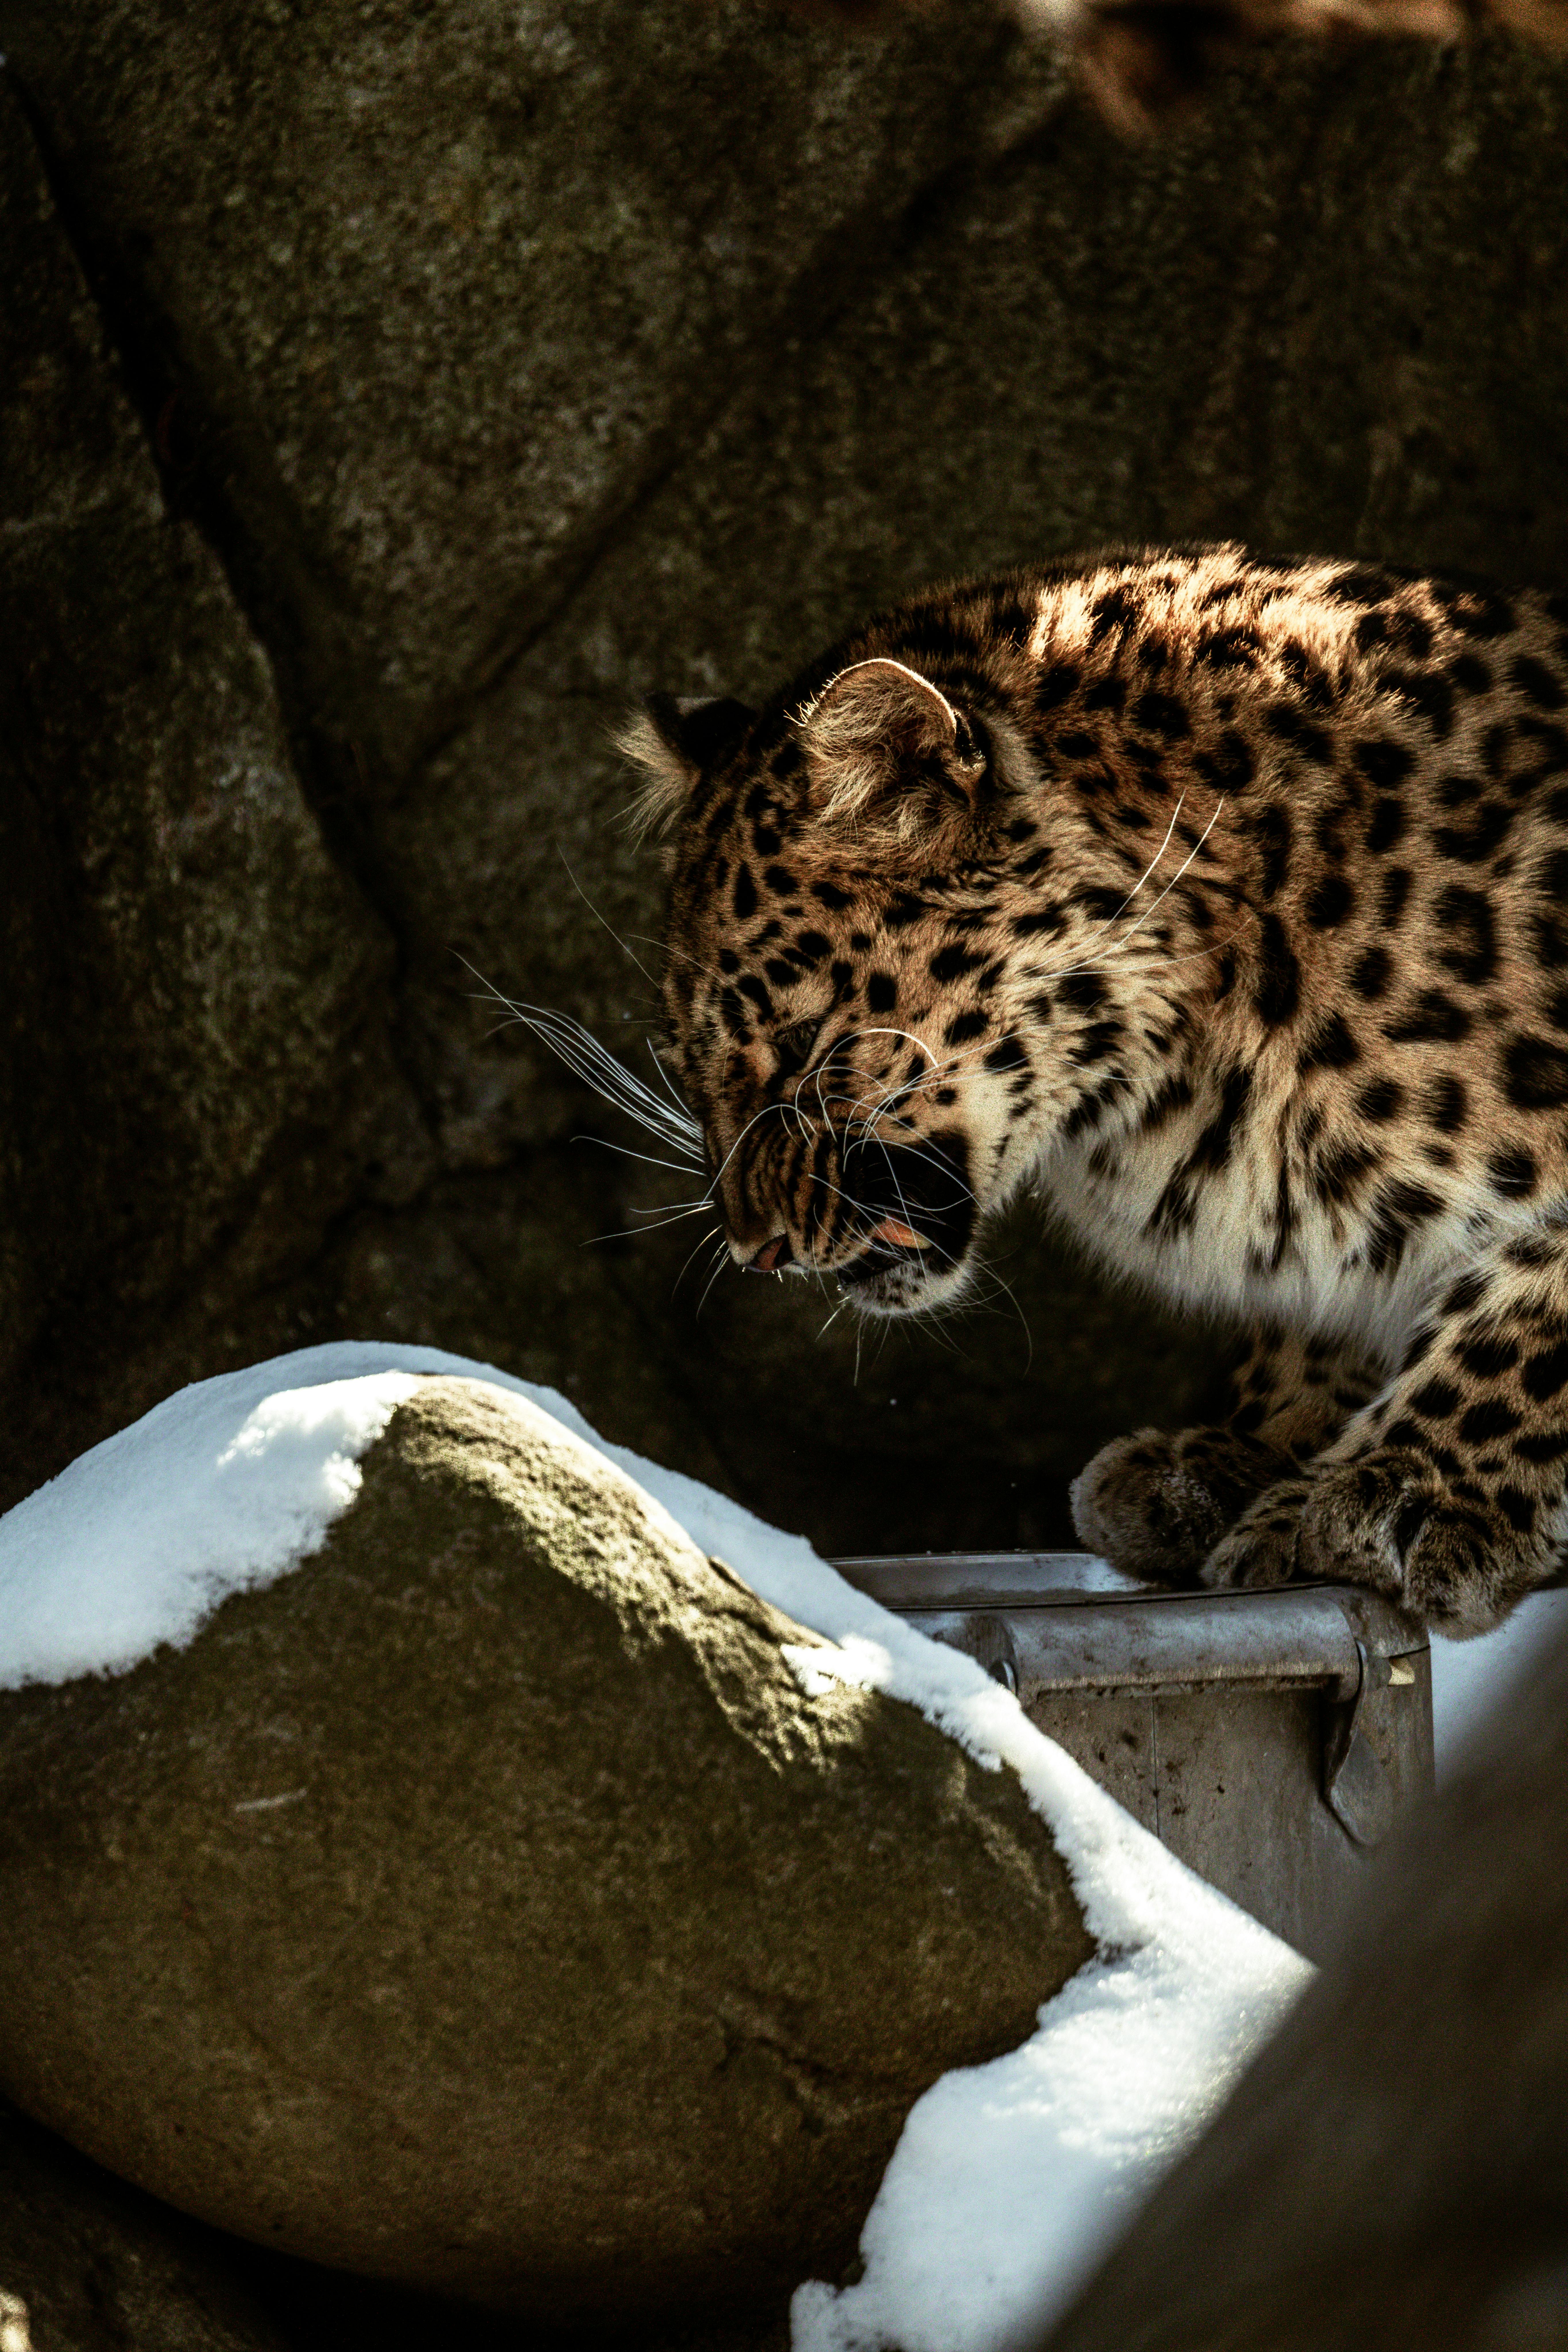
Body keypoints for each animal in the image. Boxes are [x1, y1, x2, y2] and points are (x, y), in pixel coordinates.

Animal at [617, 544, 1568, 1638]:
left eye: (798, 1046)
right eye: (690, 1061)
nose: (753, 1249)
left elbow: (1532, 1304)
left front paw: (1405, 1490)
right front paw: (1247, 1450)